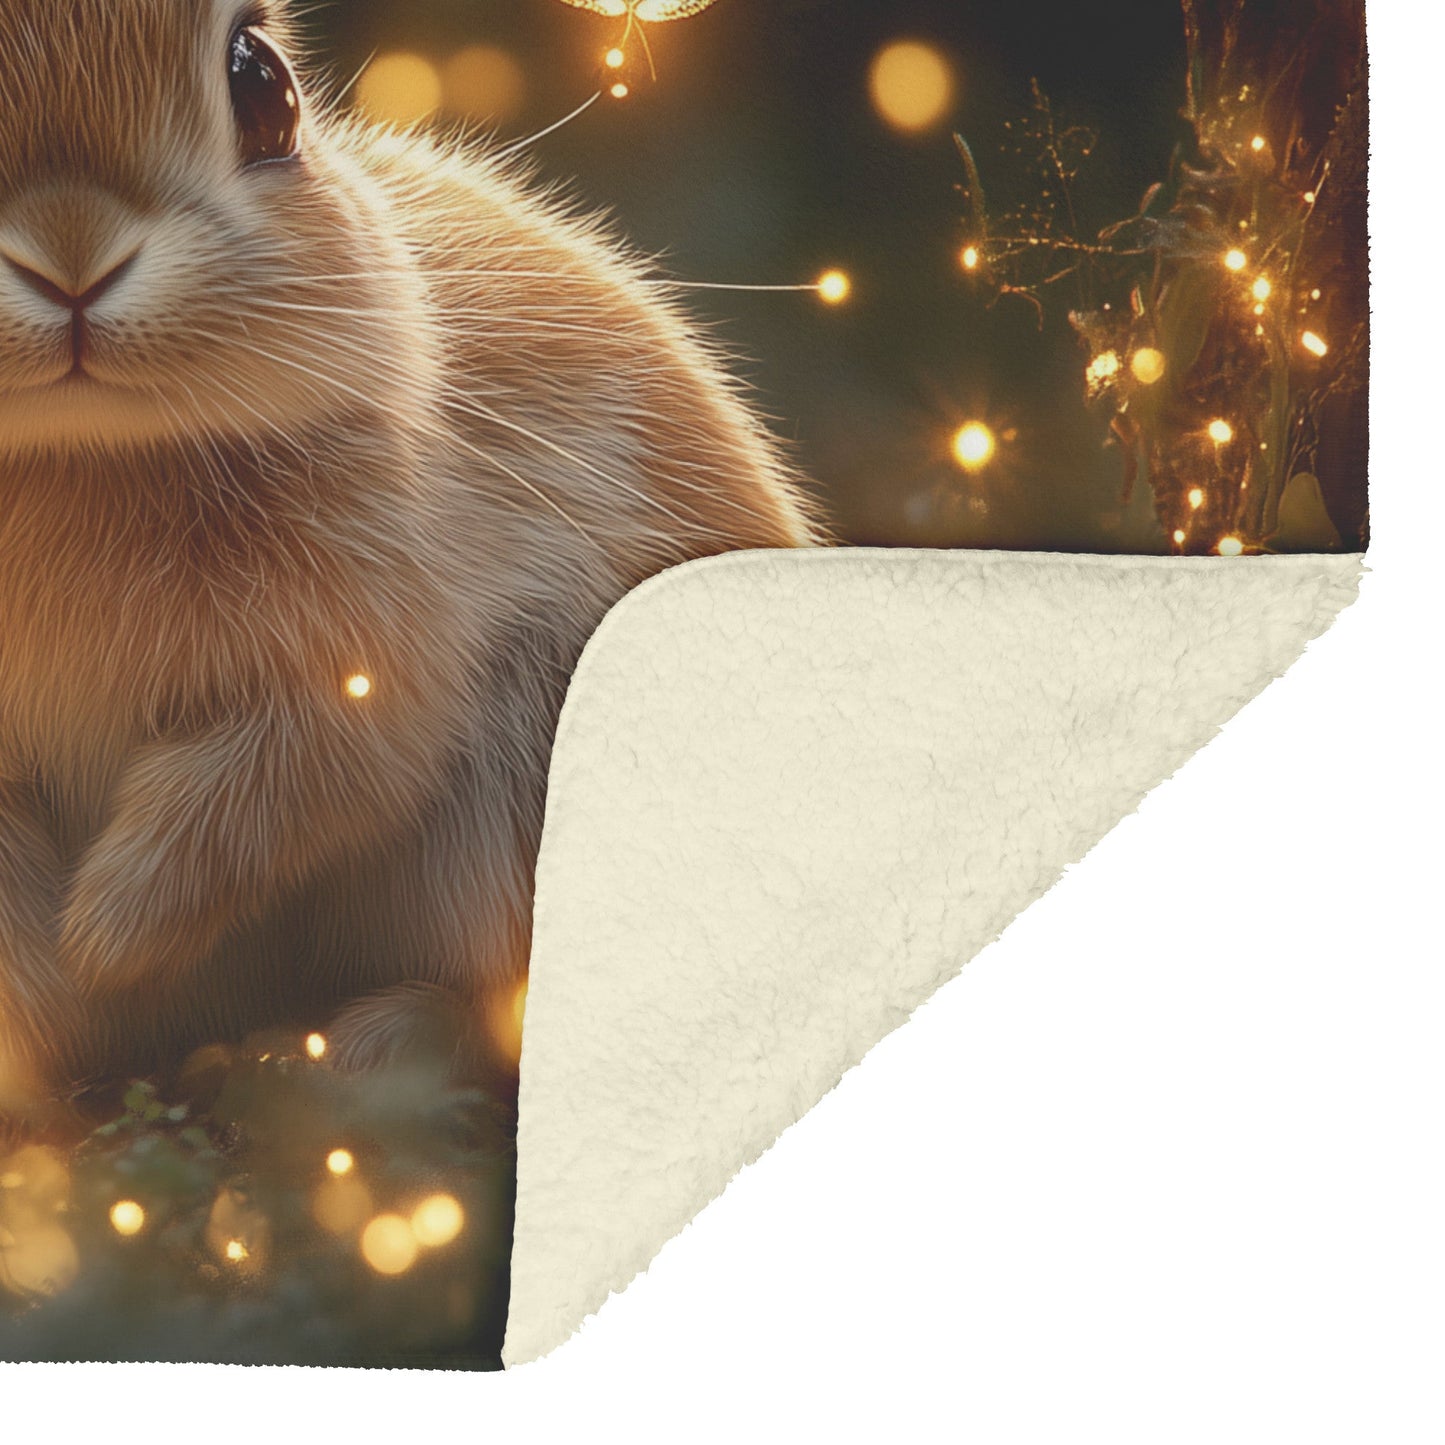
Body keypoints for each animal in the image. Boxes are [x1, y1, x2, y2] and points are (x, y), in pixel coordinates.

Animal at [0, 0, 818, 1100]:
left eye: (263, 84)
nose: (71, 255)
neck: (85, 451)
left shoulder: (367, 667)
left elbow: (277, 789)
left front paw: (102, 939)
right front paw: (63, 1003)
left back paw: (357, 1046)